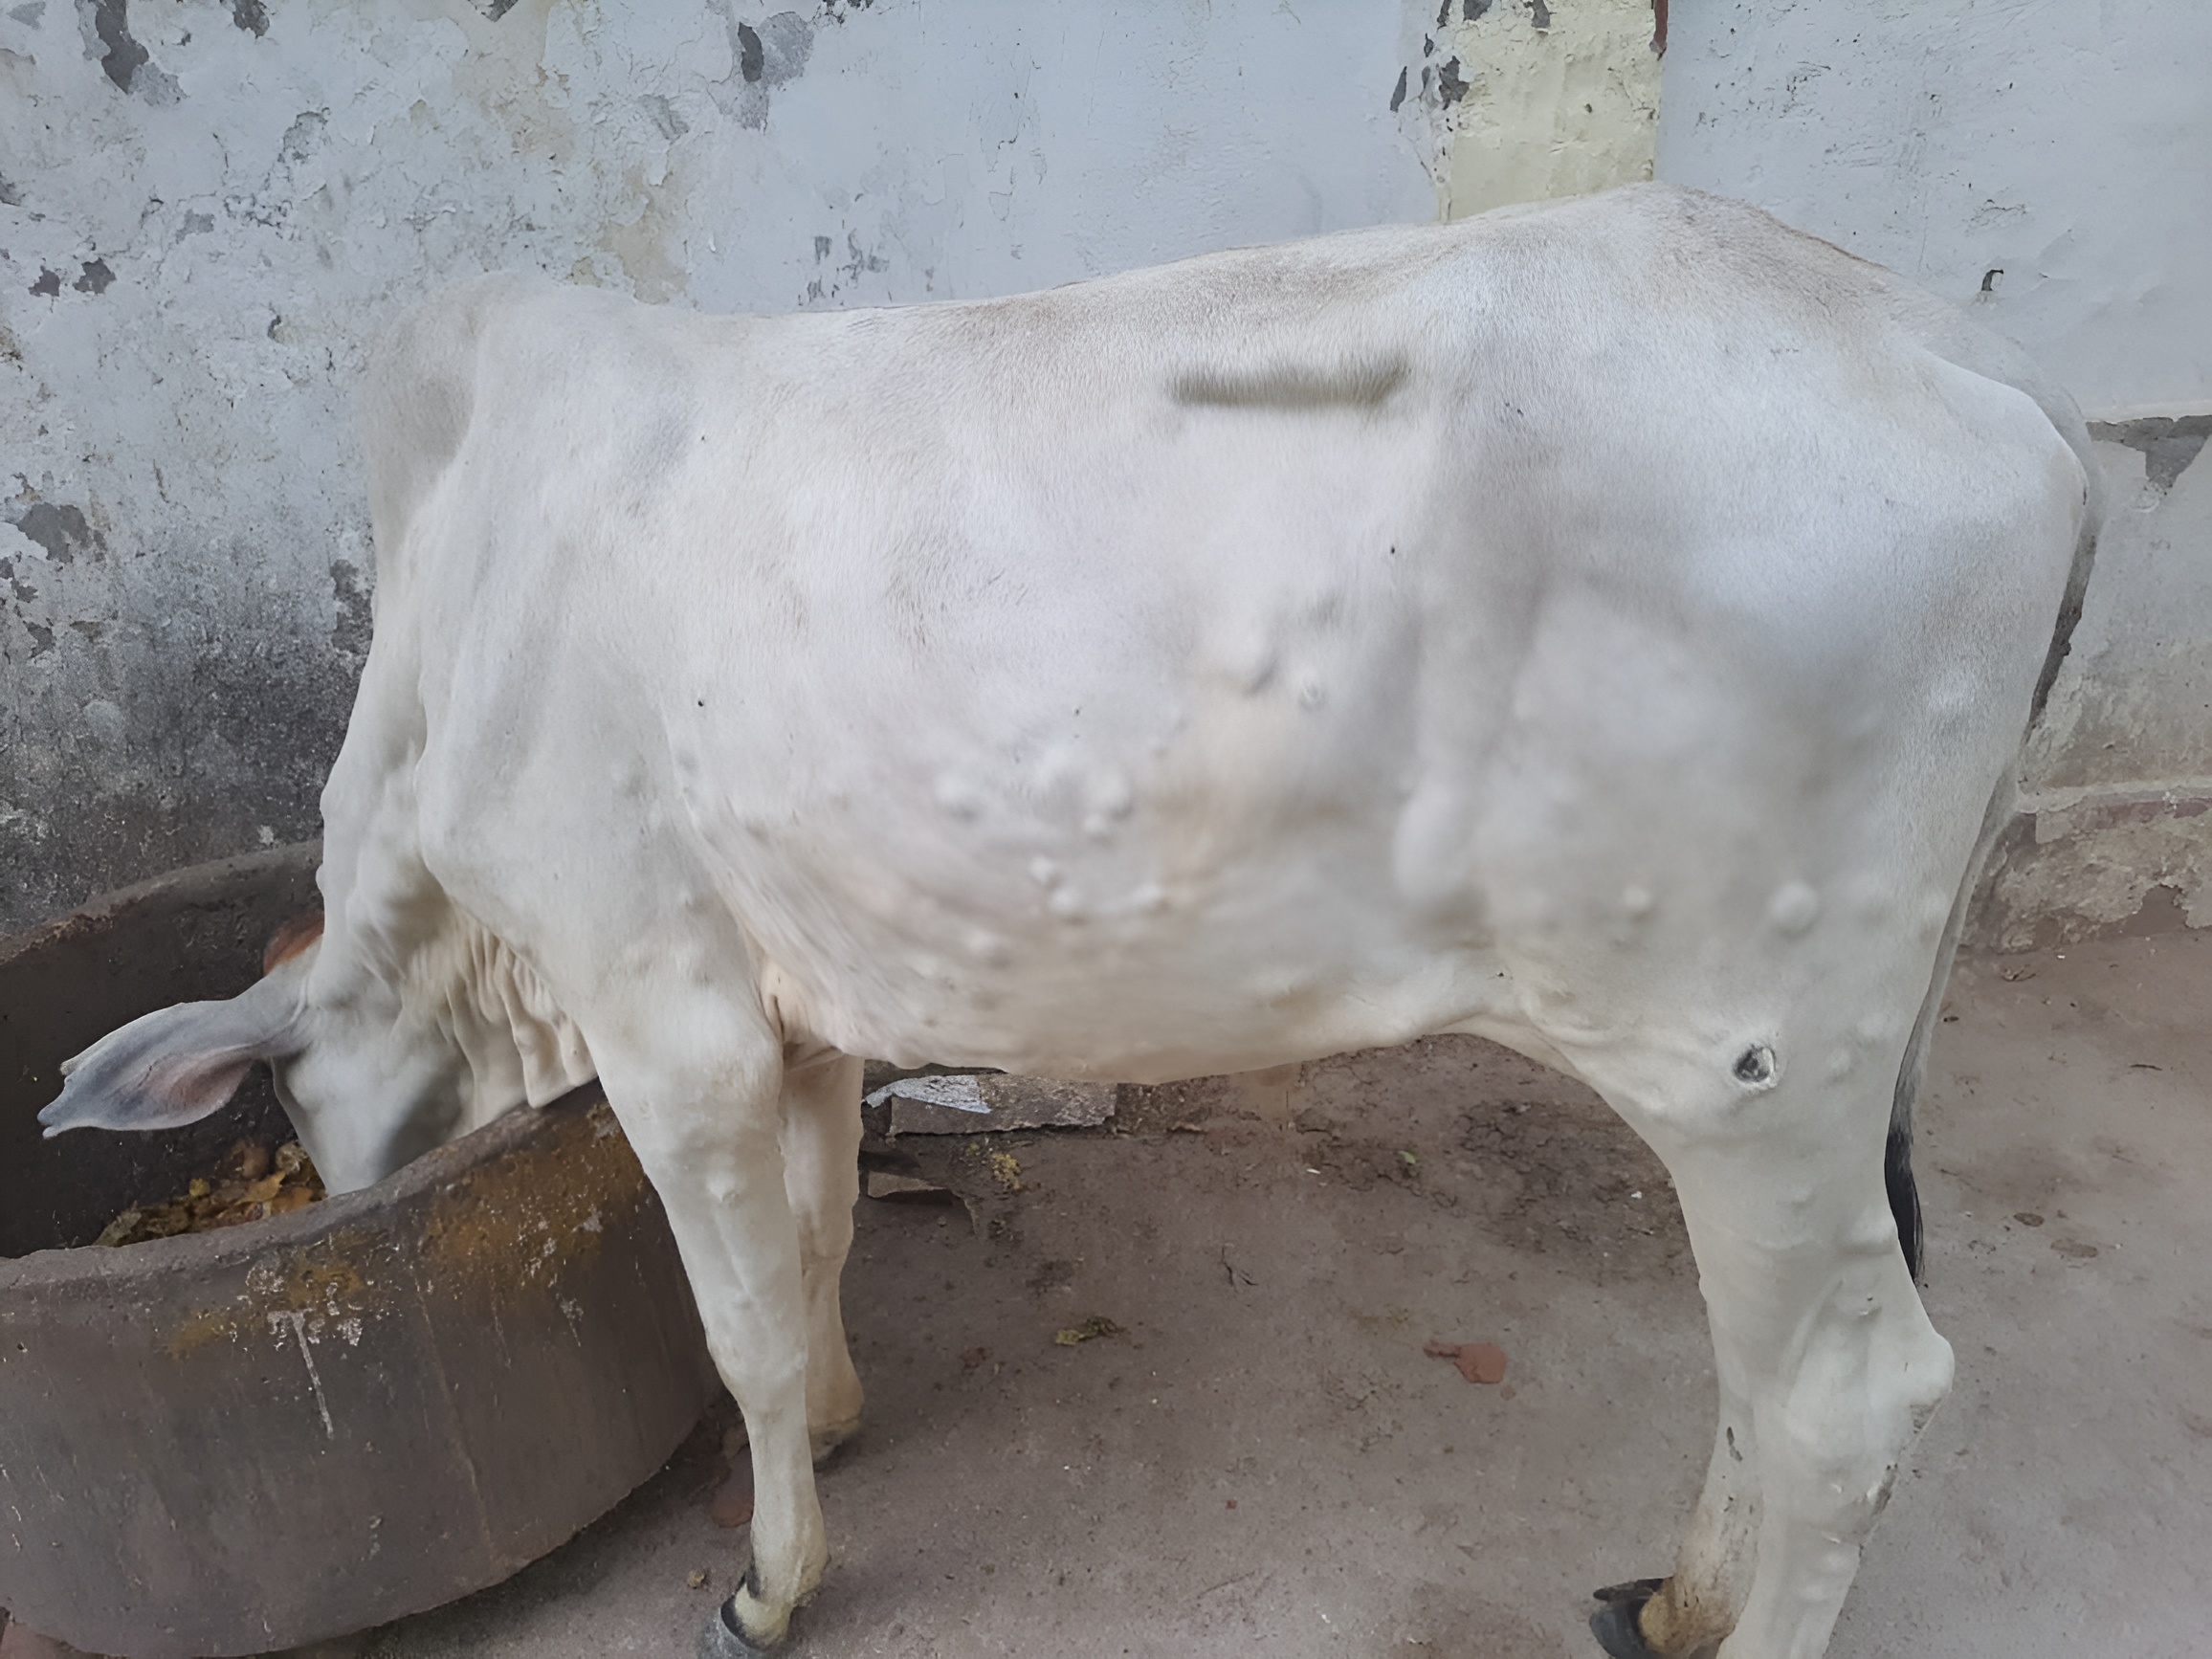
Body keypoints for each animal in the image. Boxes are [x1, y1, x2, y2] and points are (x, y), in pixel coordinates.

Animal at [43, 184, 2098, 1659]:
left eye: (292, 1106)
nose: (324, 1185)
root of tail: (1963, 353)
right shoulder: (798, 1010)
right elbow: (813, 1249)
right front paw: (840, 1427)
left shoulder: (663, 1010)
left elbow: (740, 1327)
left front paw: (768, 1581)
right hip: (1817, 1064)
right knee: (1770, 1370)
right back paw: (1670, 1599)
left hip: (1743, 1052)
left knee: (1842, 1386)